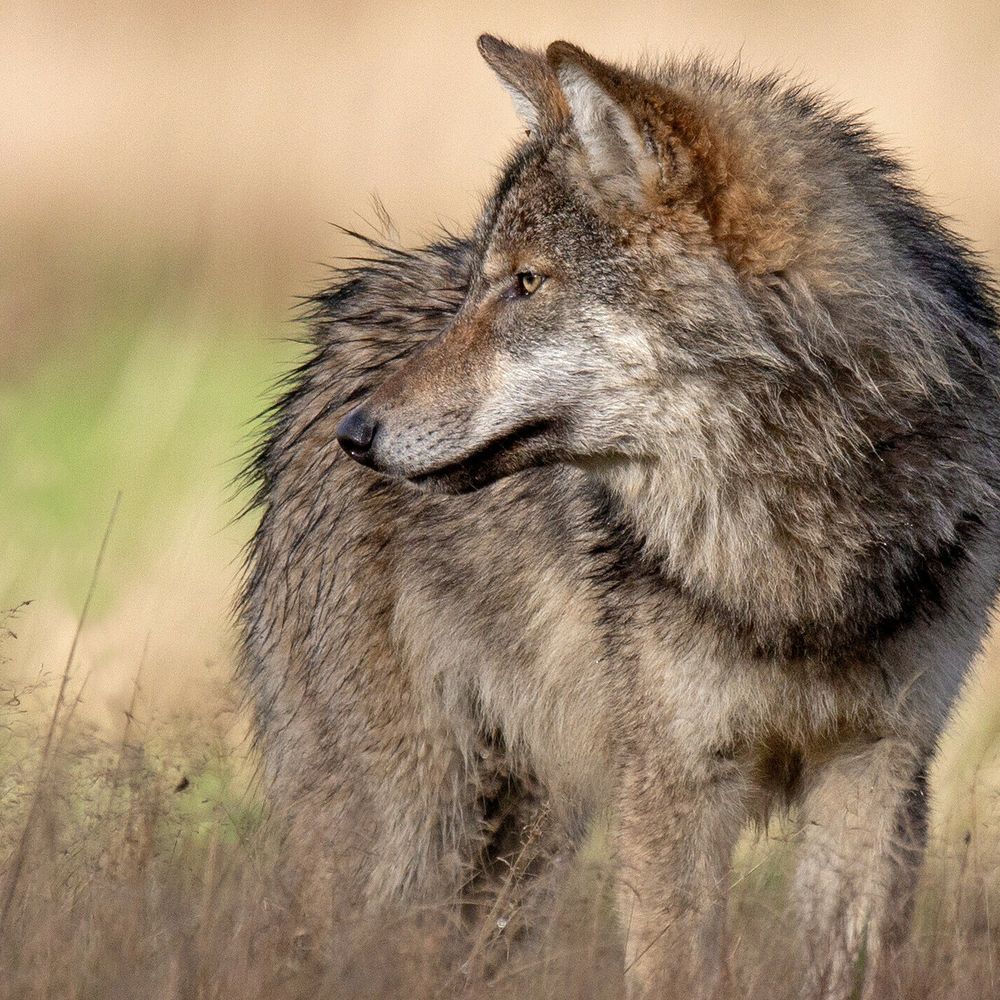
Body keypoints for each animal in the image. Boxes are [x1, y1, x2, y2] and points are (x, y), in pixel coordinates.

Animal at [239, 36, 1000, 998]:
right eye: (490, 283)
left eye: (527, 283)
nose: (357, 433)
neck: (795, 559)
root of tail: (327, 347)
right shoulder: (672, 787)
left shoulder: (881, 767)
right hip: (407, 829)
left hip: (518, 852)